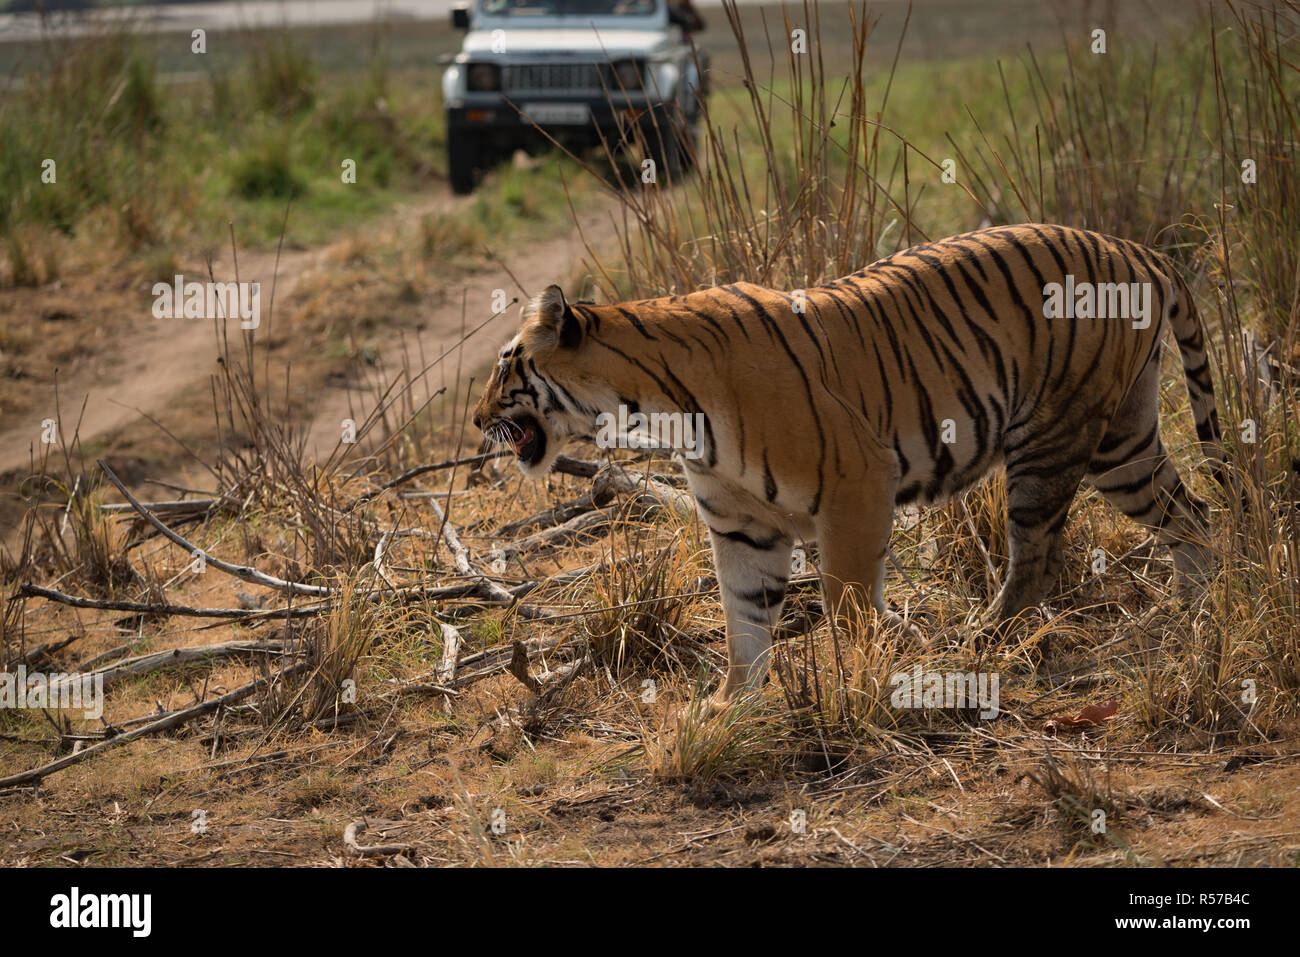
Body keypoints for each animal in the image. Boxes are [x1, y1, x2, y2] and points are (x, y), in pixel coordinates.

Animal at [472, 223, 1225, 704]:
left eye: (506, 368)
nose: (477, 422)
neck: (658, 412)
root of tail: (1134, 247)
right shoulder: (742, 523)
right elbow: (745, 619)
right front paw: (725, 709)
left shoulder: (857, 484)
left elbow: (848, 601)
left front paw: (872, 671)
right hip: (1122, 443)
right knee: (1192, 515)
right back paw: (1196, 613)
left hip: (1054, 440)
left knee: (1038, 556)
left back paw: (983, 638)